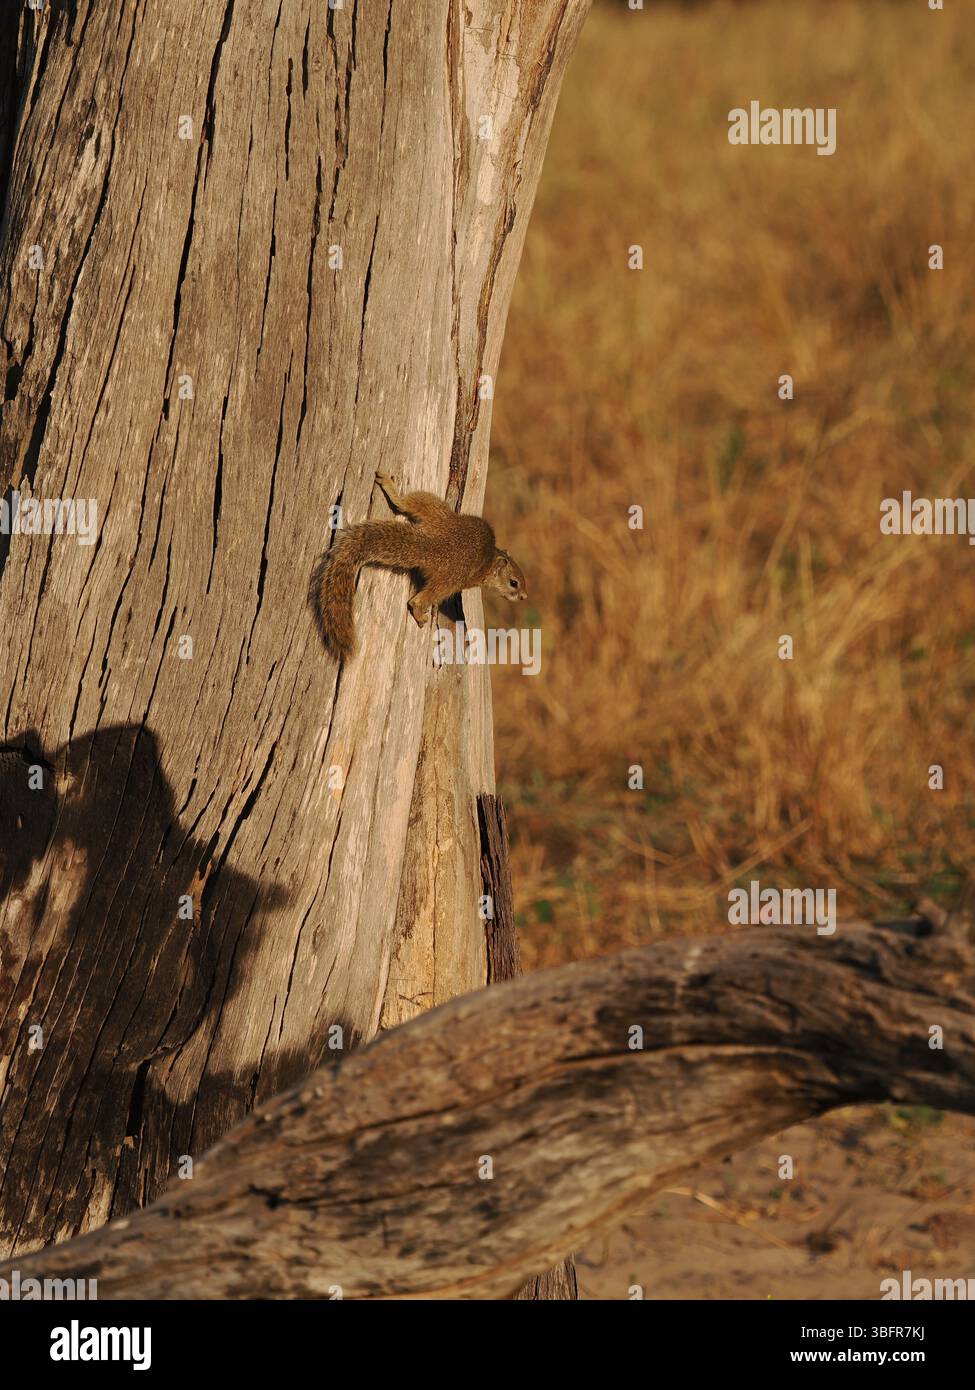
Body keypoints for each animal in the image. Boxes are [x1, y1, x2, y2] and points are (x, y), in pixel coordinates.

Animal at [310, 470, 528, 659]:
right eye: (514, 583)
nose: (524, 597)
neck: (490, 560)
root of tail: (435, 547)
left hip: (435, 513)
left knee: (405, 504)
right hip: (448, 579)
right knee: (419, 599)